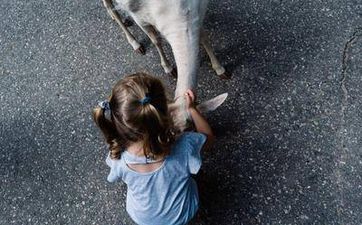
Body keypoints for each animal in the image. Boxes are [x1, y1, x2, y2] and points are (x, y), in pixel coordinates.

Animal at [102, 0, 228, 129]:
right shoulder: (140, 18)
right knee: (109, 5)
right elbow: (156, 41)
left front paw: (220, 69)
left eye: (194, 125)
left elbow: (204, 38)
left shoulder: (198, 13)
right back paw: (135, 43)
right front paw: (168, 68)